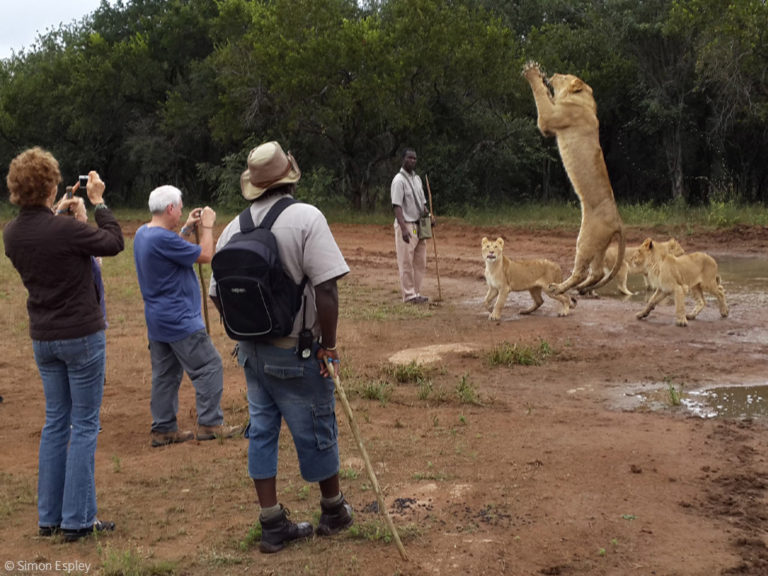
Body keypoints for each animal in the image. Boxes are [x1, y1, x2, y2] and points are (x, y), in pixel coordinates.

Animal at [522, 61, 625, 295]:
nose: (553, 73)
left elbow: (541, 97)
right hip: (600, 246)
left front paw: (532, 72)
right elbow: (546, 96)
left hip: (585, 240)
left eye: (564, 76)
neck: (583, 100)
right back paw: (580, 289)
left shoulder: (549, 120)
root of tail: (618, 222)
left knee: (581, 271)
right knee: (596, 272)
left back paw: (559, 288)